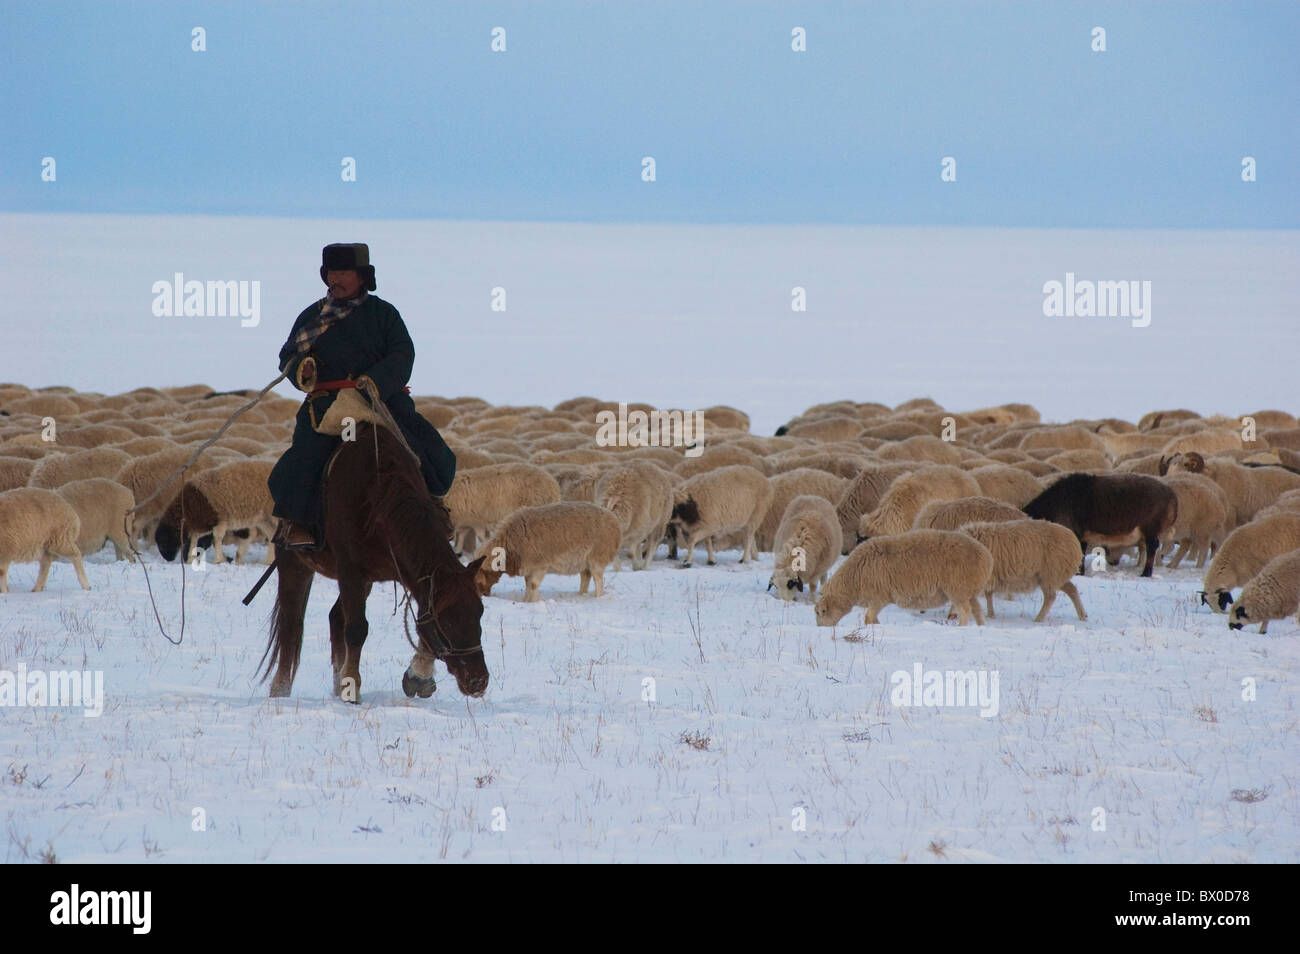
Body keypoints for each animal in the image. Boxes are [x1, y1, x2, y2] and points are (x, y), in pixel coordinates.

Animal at [474, 501, 622, 601]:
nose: (482, 596)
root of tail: (613, 518)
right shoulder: (529, 567)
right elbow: (527, 584)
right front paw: (526, 600)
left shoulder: (540, 565)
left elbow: (533, 585)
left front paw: (535, 601)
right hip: (585, 562)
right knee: (586, 577)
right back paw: (581, 595)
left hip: (598, 556)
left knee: (598, 580)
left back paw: (597, 597)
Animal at [814, 529, 993, 627]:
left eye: (821, 612)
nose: (820, 628)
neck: (853, 579)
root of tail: (986, 556)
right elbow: (873, 618)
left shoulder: (878, 598)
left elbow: (868, 618)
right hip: (969, 591)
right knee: (977, 611)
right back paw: (980, 627)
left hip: (957, 589)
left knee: (965, 611)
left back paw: (961, 627)